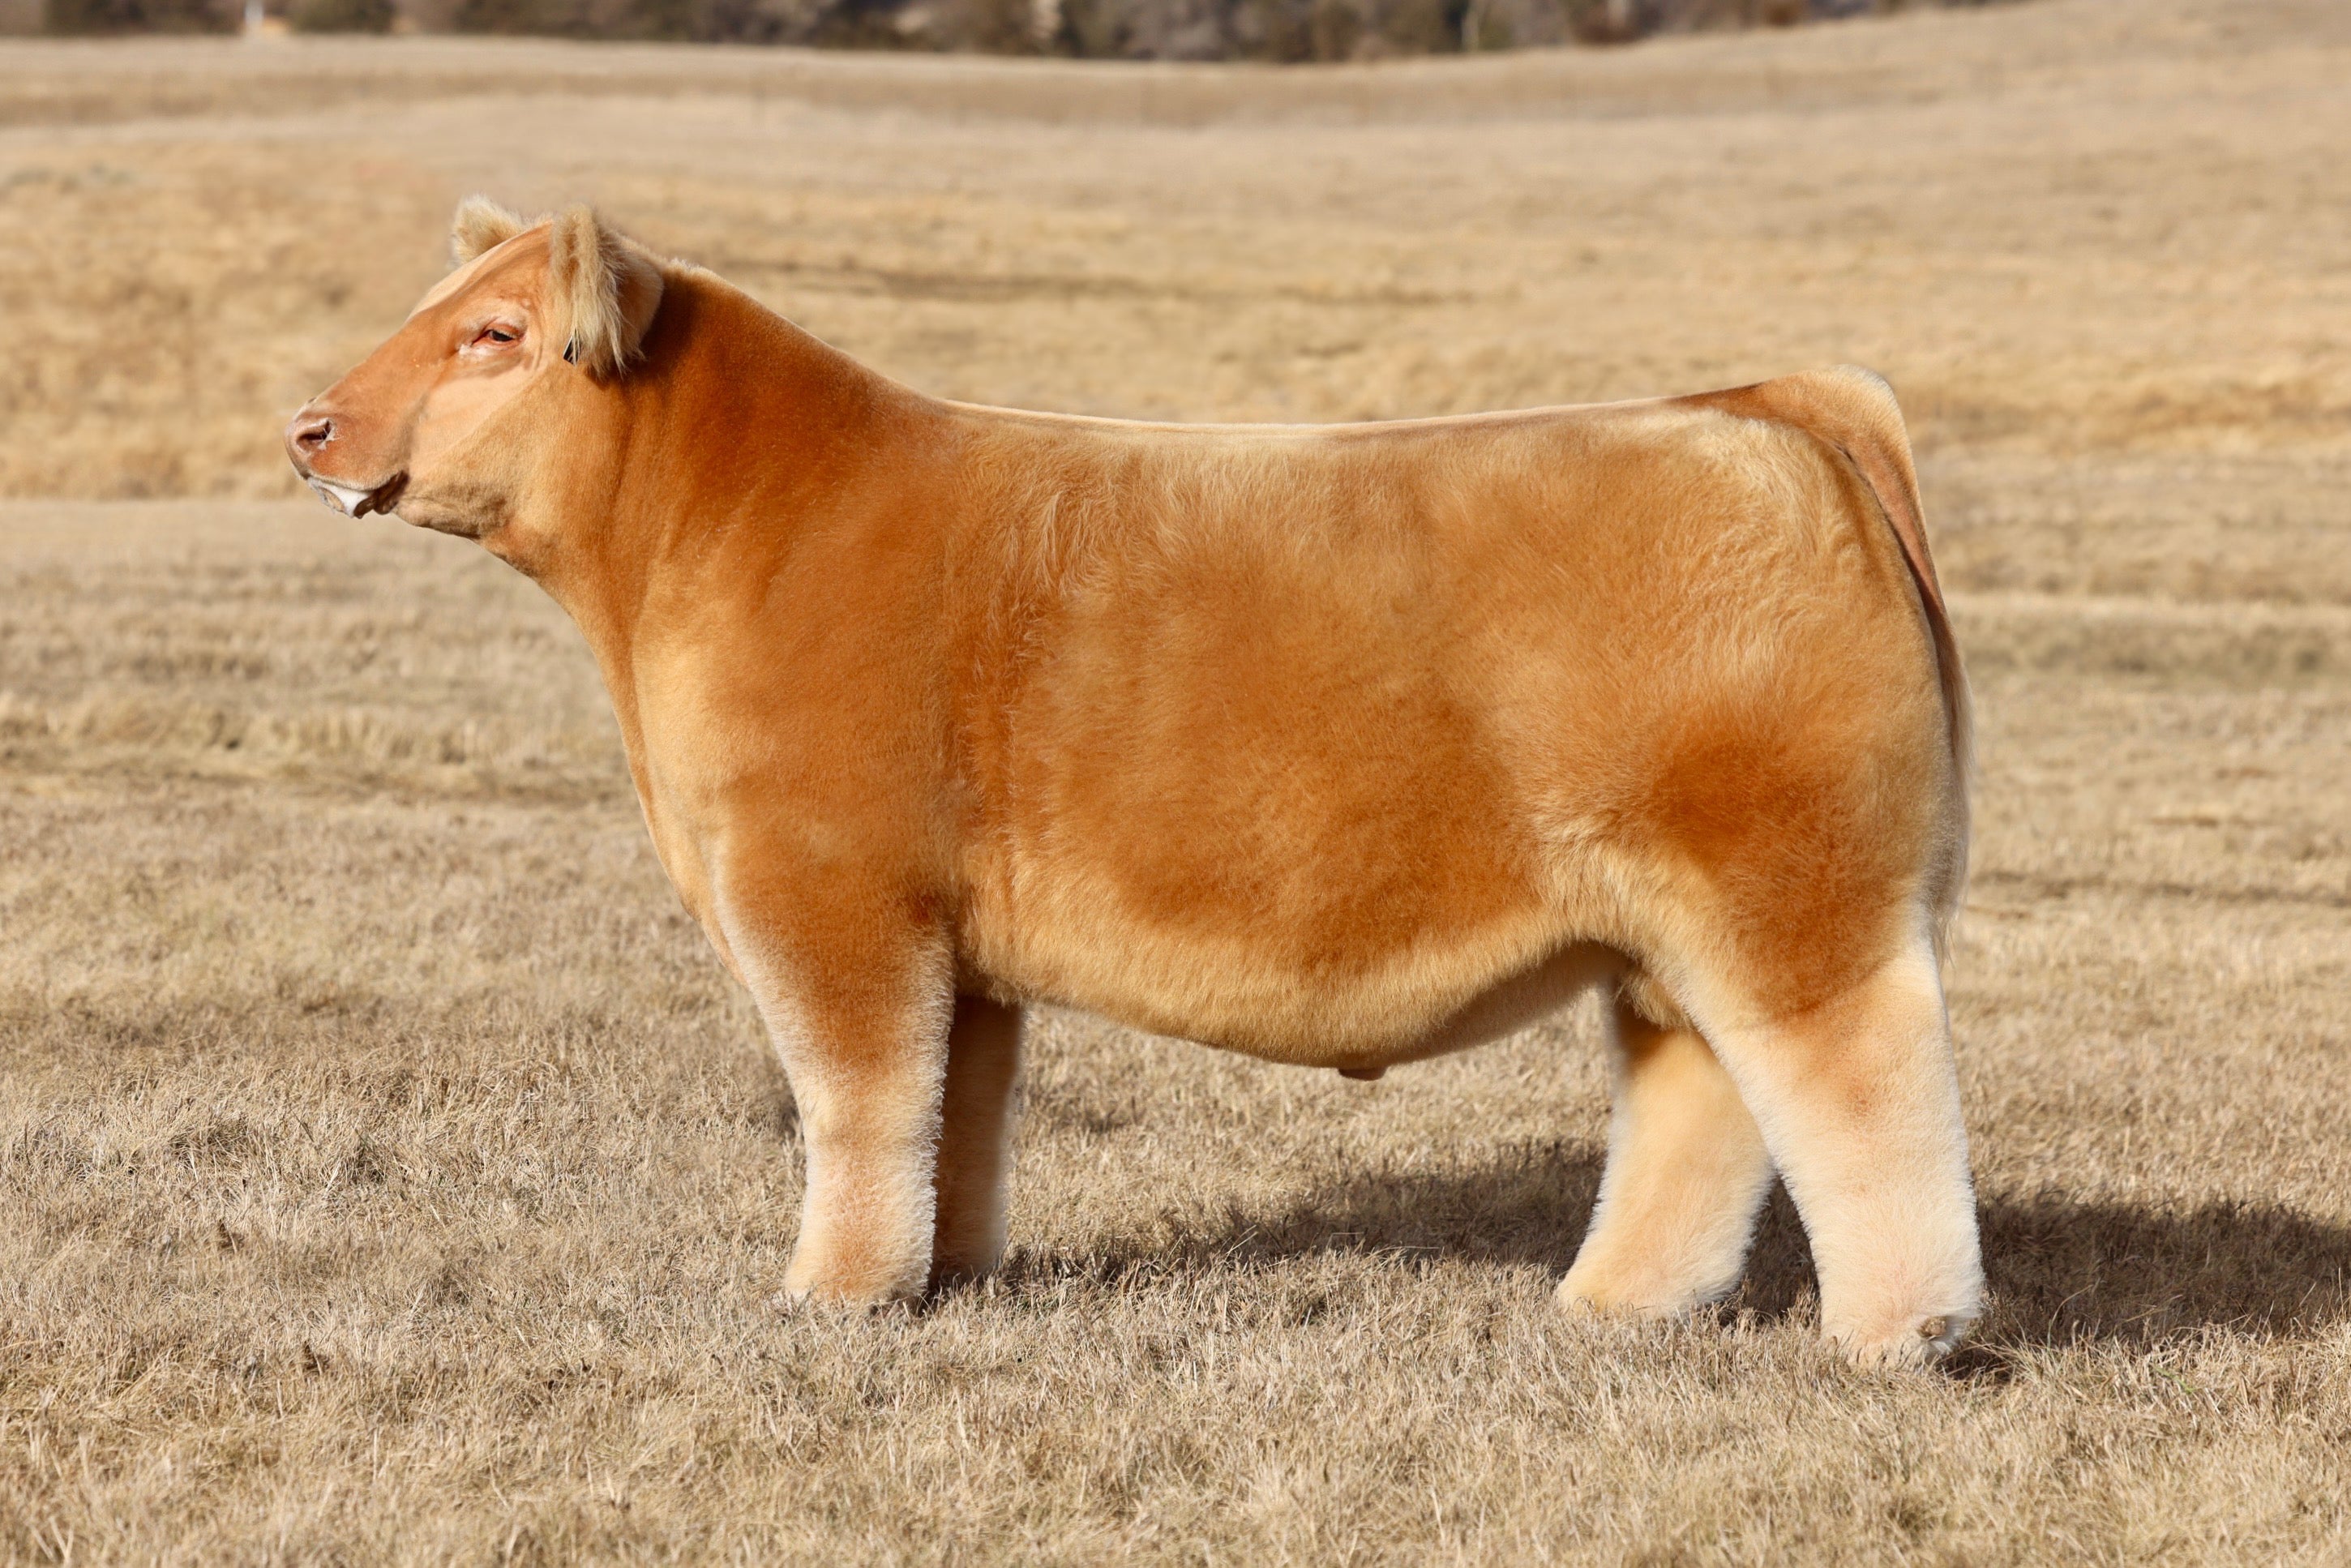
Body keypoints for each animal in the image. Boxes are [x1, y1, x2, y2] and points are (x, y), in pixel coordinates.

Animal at [285, 199, 1980, 1364]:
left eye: (496, 335)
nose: (310, 426)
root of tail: (1768, 406)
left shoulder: (823, 894)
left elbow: (856, 1098)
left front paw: (830, 1295)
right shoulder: (953, 945)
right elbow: (954, 1105)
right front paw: (951, 1271)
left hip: (1796, 895)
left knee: (1860, 1081)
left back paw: (1899, 1335)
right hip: (1672, 931)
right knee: (1704, 1096)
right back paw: (1613, 1307)